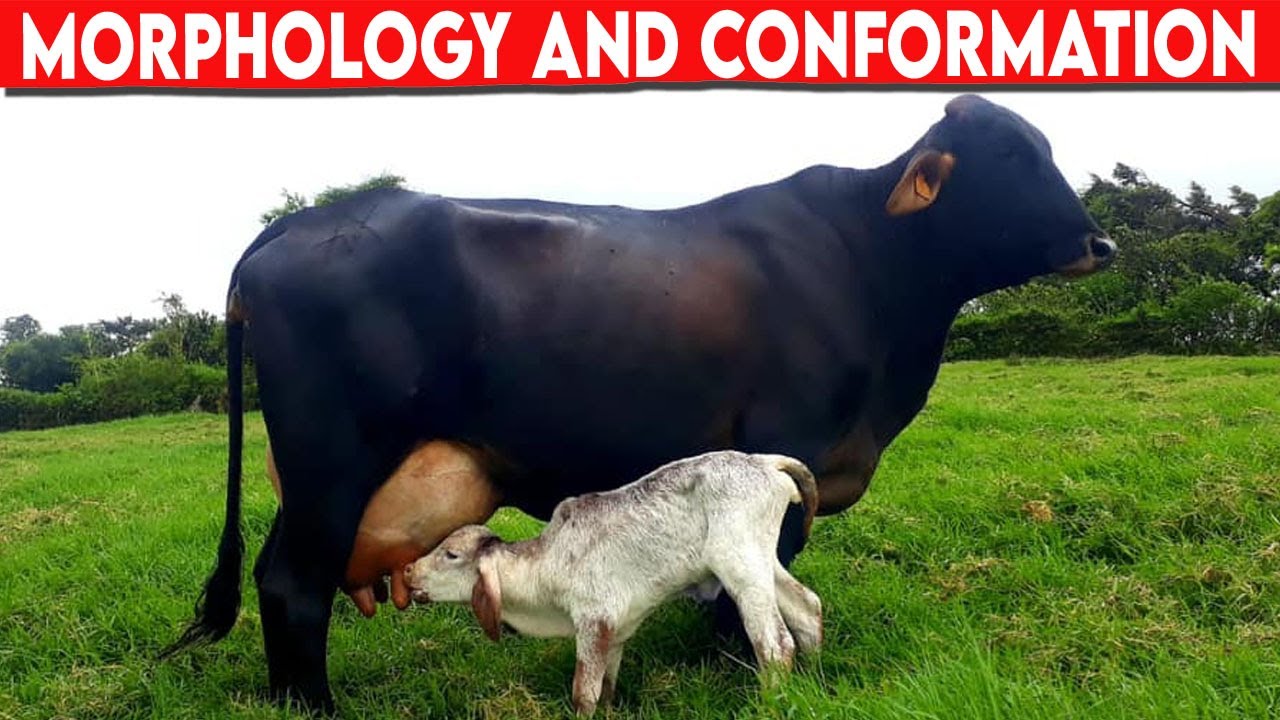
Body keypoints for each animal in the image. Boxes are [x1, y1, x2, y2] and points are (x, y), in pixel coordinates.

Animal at [166, 95, 1115, 712]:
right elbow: (752, 593)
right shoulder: (784, 446)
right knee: (293, 586)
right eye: (1010, 158)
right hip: (332, 465)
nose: (1098, 241)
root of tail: (295, 225)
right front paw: (741, 671)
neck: (870, 266)